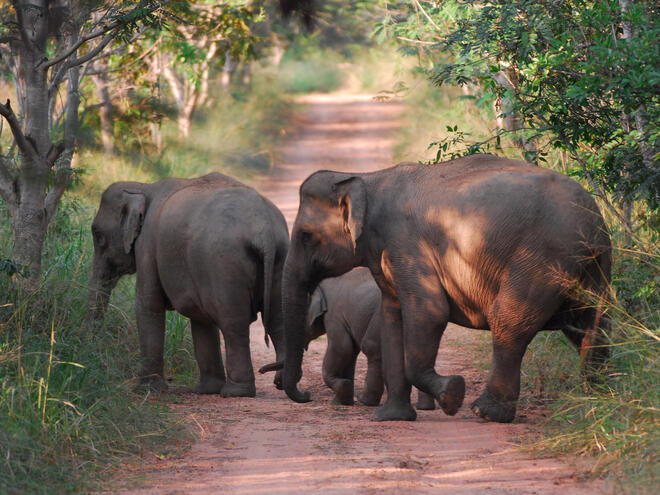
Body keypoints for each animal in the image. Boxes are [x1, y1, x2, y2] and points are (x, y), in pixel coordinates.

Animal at [87, 173, 289, 397]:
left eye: (98, 235)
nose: (94, 353)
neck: (143, 187)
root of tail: (264, 229)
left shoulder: (147, 245)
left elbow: (148, 304)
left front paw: (146, 390)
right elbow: (201, 319)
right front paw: (206, 390)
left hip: (224, 264)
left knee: (234, 323)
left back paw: (236, 392)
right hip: (282, 256)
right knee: (278, 319)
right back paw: (281, 383)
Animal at [260, 267, 436, 409]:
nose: (261, 370)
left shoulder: (334, 315)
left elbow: (342, 348)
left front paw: (341, 393)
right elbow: (350, 353)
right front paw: (343, 401)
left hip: (381, 316)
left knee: (372, 348)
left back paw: (365, 401)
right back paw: (424, 407)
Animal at [280, 154, 611, 423]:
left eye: (306, 235)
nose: (305, 396)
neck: (366, 178)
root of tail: (591, 219)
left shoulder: (406, 246)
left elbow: (429, 313)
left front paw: (452, 393)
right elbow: (392, 319)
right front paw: (392, 418)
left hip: (540, 261)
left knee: (510, 322)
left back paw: (486, 413)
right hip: (592, 265)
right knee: (592, 325)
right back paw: (595, 401)